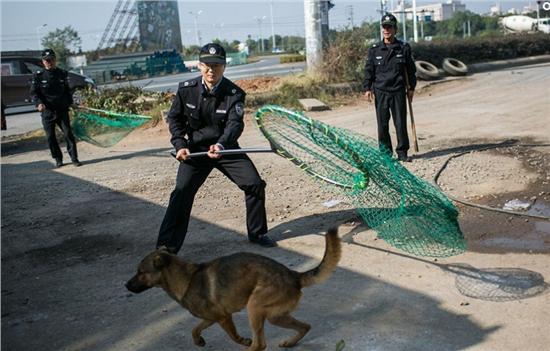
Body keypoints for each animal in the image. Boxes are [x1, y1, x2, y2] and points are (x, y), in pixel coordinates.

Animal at [126, 227, 340, 350]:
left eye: (140, 272)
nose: (125, 285)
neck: (186, 278)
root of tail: (294, 275)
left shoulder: (223, 317)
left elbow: (234, 336)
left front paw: (243, 341)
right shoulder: (211, 317)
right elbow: (195, 329)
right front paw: (198, 341)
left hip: (254, 308)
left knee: (260, 344)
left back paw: (252, 347)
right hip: (276, 316)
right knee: (305, 326)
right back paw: (289, 342)